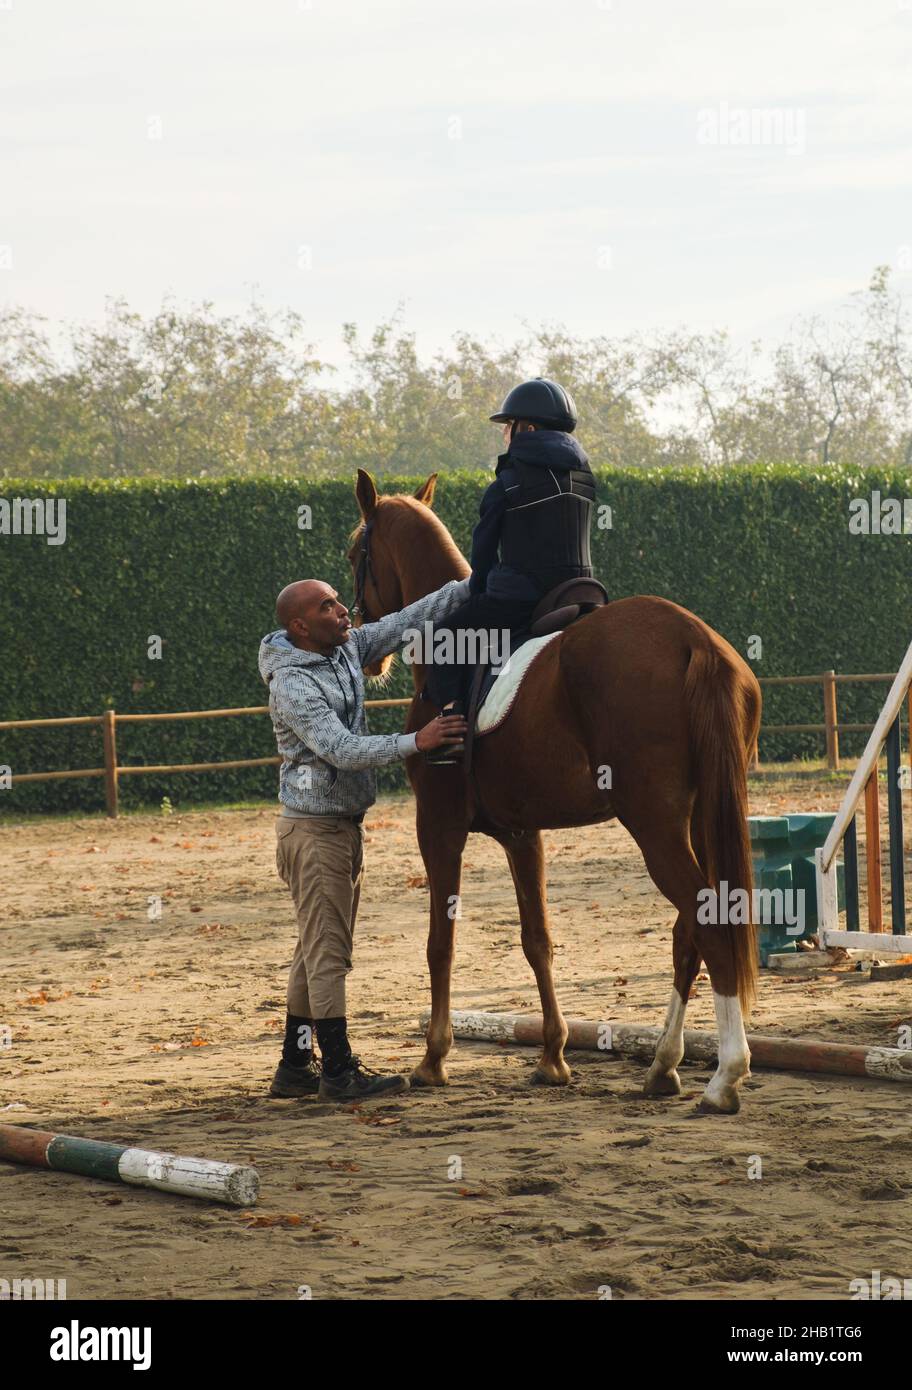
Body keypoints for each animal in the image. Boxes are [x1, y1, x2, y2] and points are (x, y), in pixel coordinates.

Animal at [347, 469, 761, 1114]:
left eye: (354, 555)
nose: (361, 635)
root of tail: (694, 639)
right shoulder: (523, 834)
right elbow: (537, 939)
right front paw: (552, 1058)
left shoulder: (437, 826)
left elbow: (441, 942)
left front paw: (434, 1059)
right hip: (698, 817)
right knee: (689, 931)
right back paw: (664, 1065)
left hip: (654, 823)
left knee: (706, 922)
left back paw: (724, 1078)